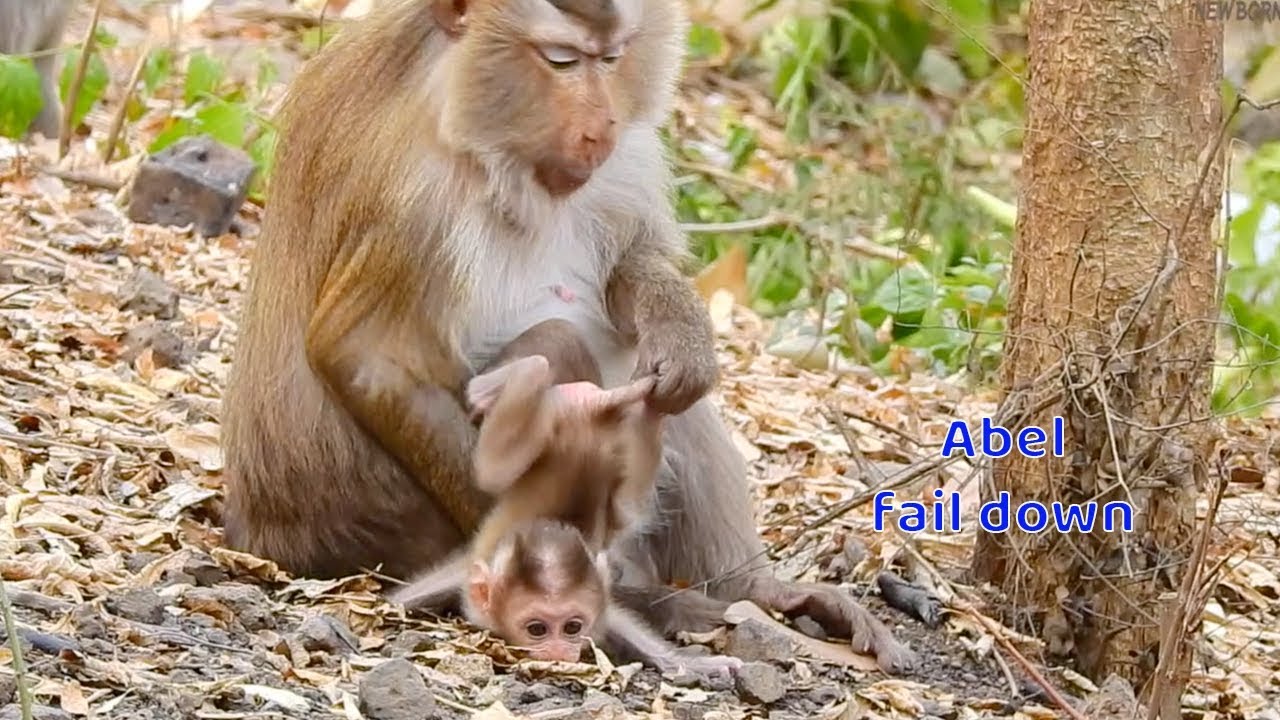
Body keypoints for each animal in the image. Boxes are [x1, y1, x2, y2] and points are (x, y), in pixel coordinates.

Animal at [219, 0, 917, 674]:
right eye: (560, 59)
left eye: (610, 58)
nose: (600, 123)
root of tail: (260, 531)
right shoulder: (411, 193)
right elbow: (369, 356)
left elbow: (629, 279)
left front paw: (680, 330)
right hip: (378, 524)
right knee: (555, 346)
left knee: (651, 389)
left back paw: (753, 590)